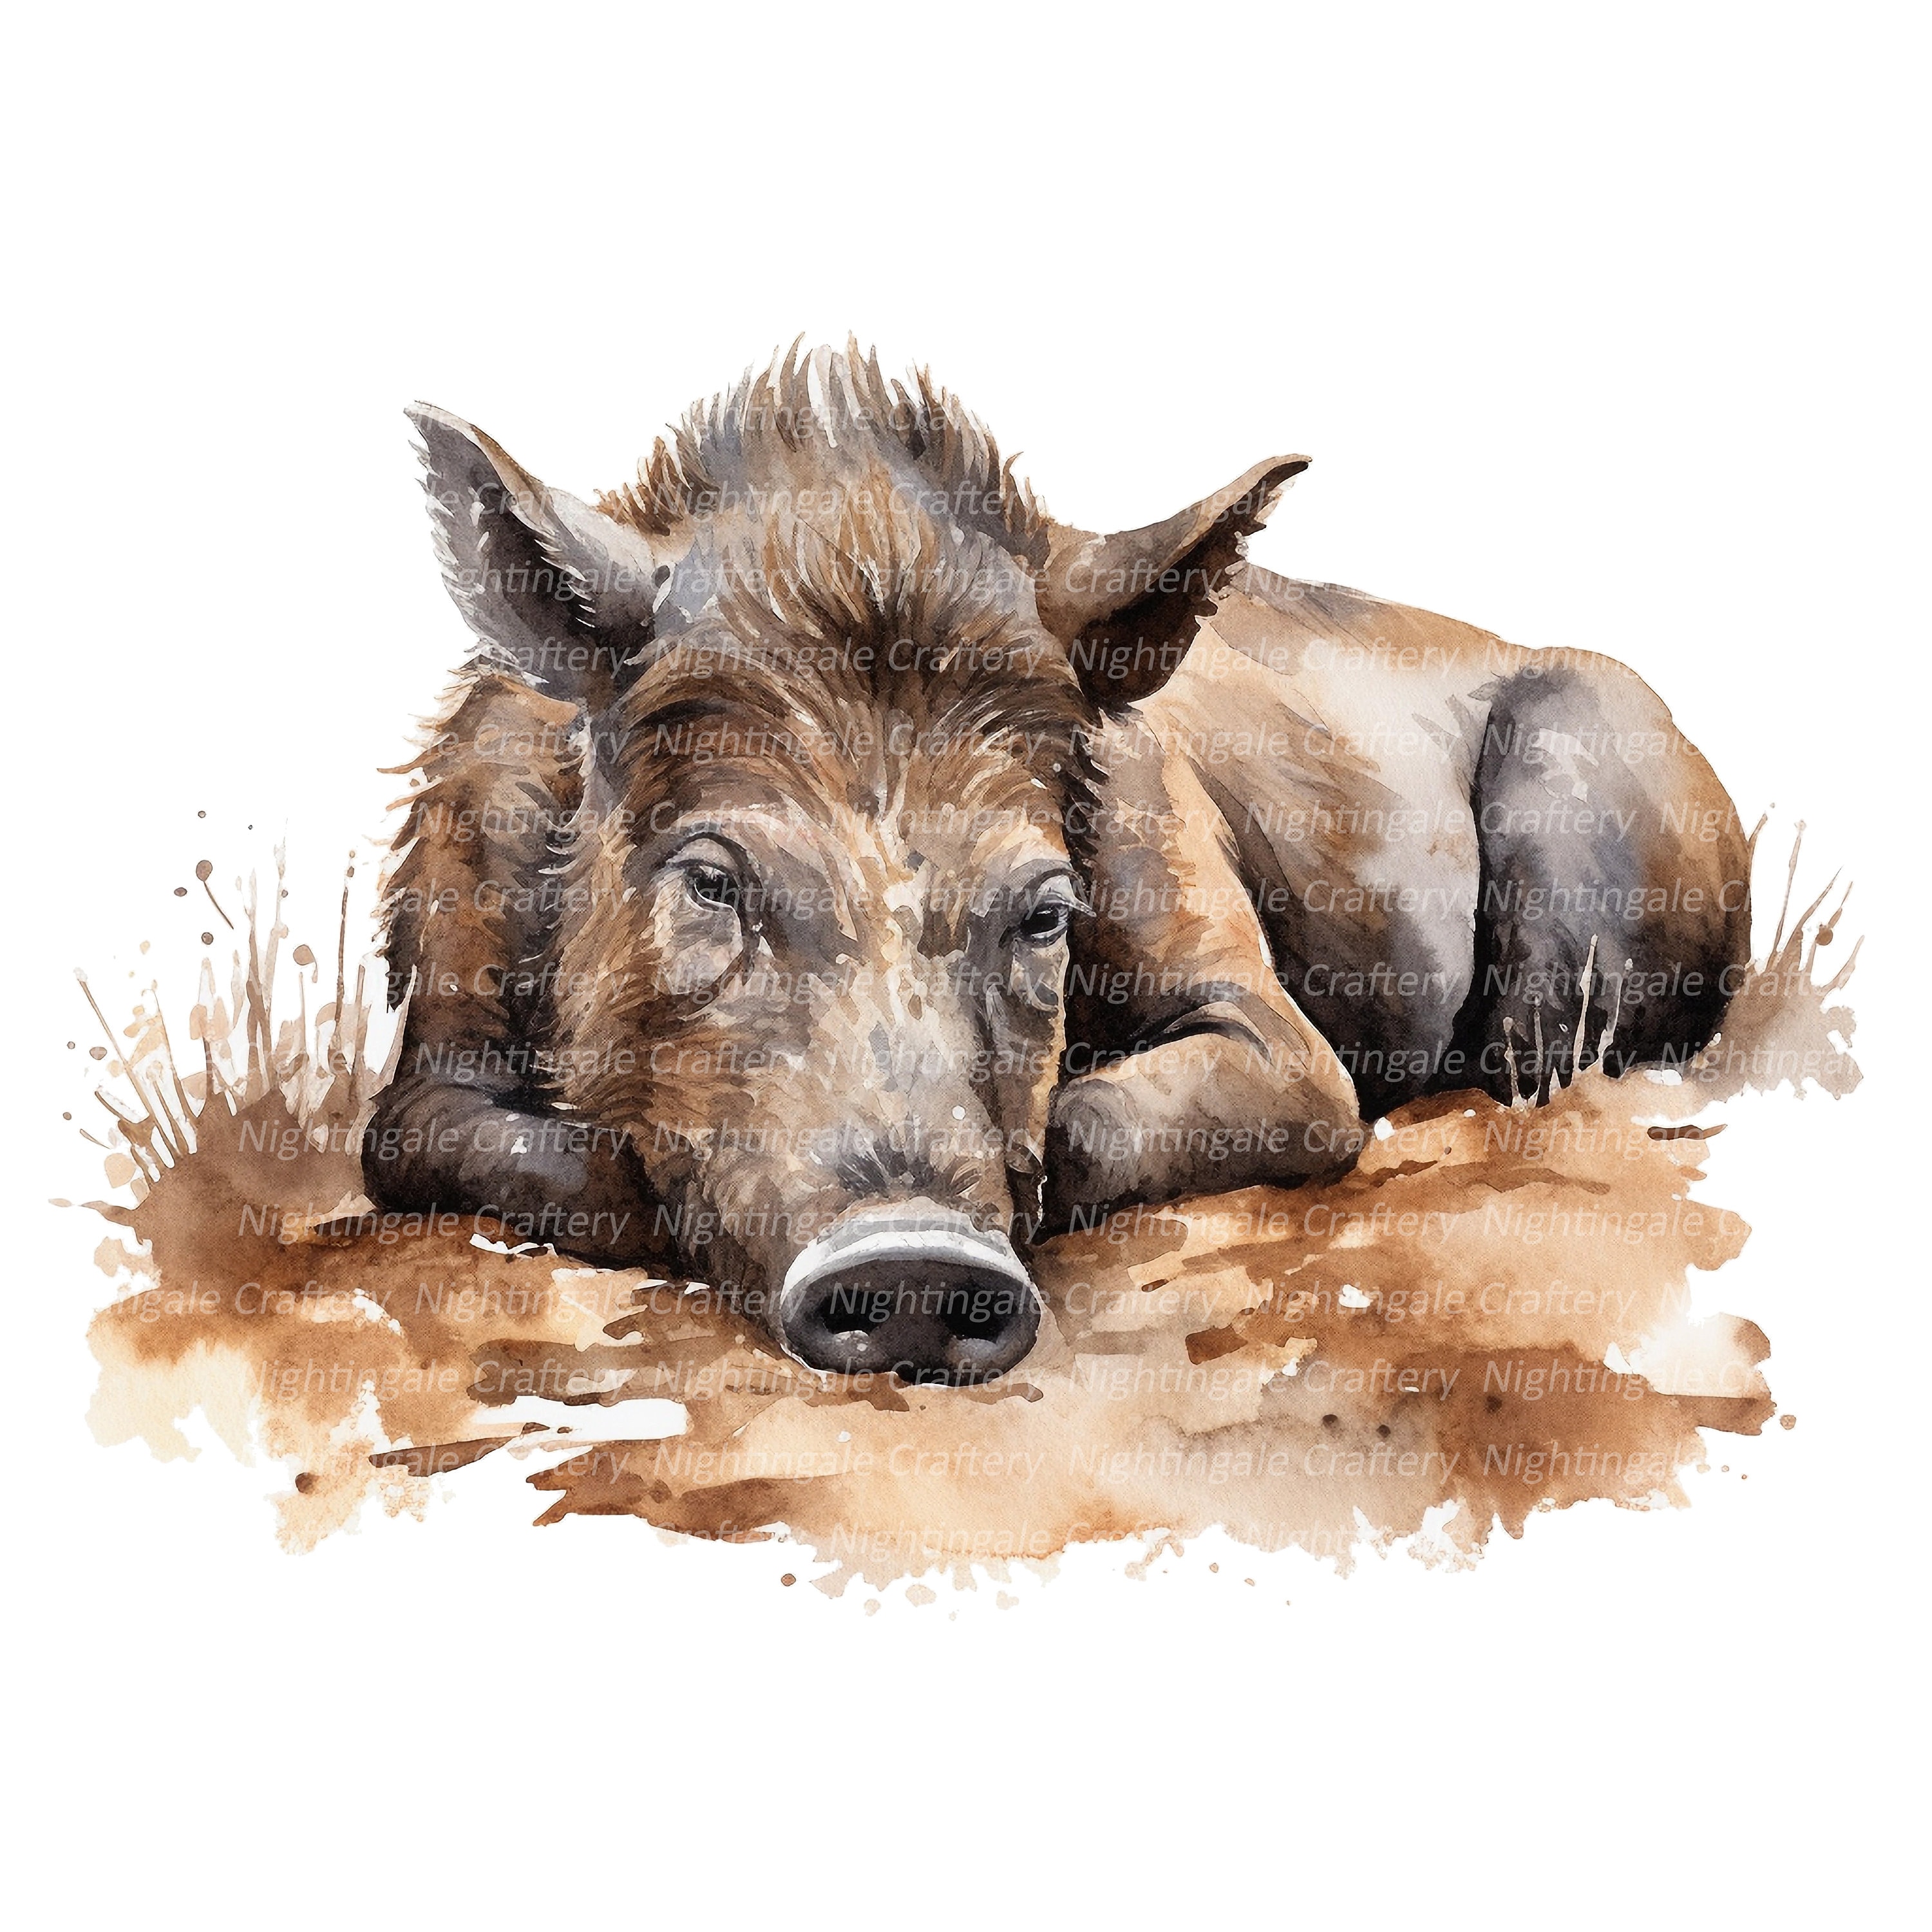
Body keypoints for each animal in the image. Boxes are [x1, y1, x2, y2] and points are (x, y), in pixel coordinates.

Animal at [365, 342, 1749, 1382]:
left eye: (1044, 911)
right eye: (711, 879)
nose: (913, 1262)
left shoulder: (1278, 1039)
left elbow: (1134, 1112)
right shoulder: (434, 1039)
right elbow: (457, 1148)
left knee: (1547, 1054)